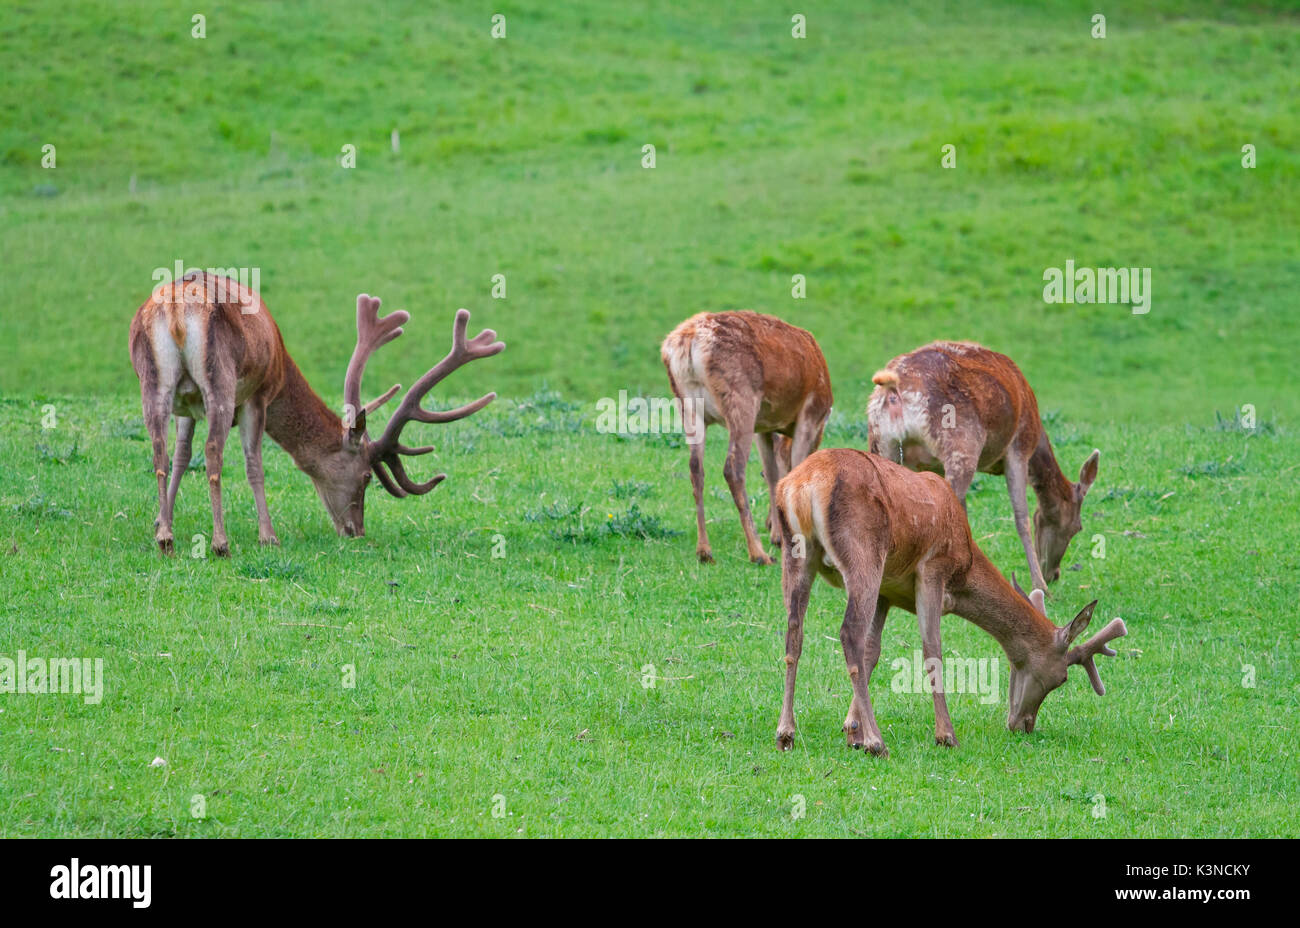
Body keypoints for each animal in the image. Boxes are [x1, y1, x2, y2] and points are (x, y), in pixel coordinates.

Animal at [128, 271, 504, 555]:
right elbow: (253, 464)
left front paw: (161, 521)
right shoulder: (259, 395)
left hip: (153, 382)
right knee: (213, 451)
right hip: (220, 379)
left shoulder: (188, 406)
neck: (282, 363)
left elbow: (181, 457)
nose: (356, 531)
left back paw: (165, 540)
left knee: (159, 447)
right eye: (366, 477)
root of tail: (177, 312)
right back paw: (221, 544)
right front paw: (268, 536)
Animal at [661, 310, 833, 565]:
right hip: (741, 400)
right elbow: (794, 471)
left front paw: (777, 536)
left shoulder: (764, 425)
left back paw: (704, 551)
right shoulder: (810, 414)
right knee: (733, 468)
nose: (770, 525)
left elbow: (772, 474)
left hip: (688, 407)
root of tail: (688, 342)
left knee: (695, 468)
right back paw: (757, 553)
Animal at [773, 448, 1126, 756]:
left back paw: (786, 734)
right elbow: (932, 649)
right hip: (864, 554)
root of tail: (803, 486)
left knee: (794, 632)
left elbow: (874, 651)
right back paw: (878, 742)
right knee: (848, 634)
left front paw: (851, 731)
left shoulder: (888, 588)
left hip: (798, 555)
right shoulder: (933, 568)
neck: (964, 569)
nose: (1023, 724)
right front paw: (945, 735)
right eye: (1062, 678)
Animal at [867, 341, 1099, 593]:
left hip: (881, 444)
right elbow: (1022, 517)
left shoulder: (930, 466)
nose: (1053, 574)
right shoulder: (1018, 447)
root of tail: (893, 388)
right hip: (961, 444)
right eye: (1077, 527)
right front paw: (1040, 586)